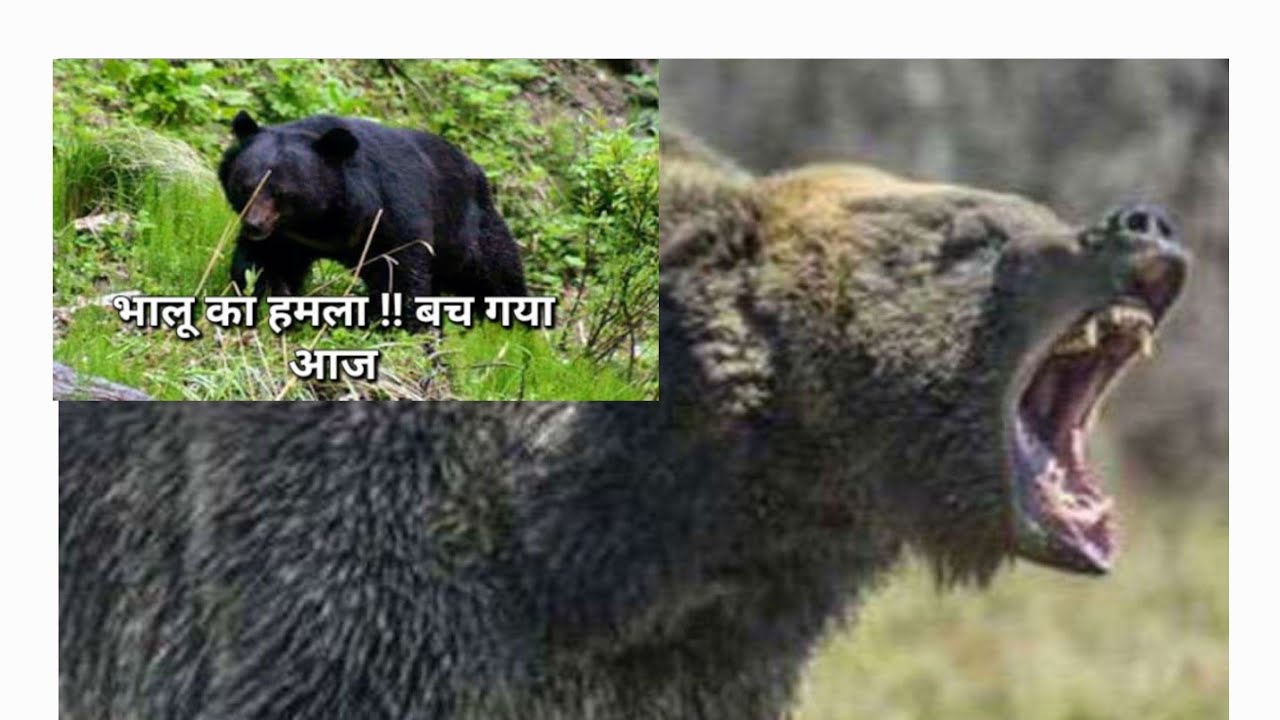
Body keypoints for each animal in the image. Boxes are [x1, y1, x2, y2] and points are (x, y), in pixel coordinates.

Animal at [218, 112, 528, 327]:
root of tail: (478, 170)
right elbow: (263, 264)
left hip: (467, 231)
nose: (254, 225)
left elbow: (400, 273)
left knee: (496, 271)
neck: (321, 220)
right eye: (246, 186)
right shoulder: (286, 238)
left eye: (282, 193)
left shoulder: (389, 215)